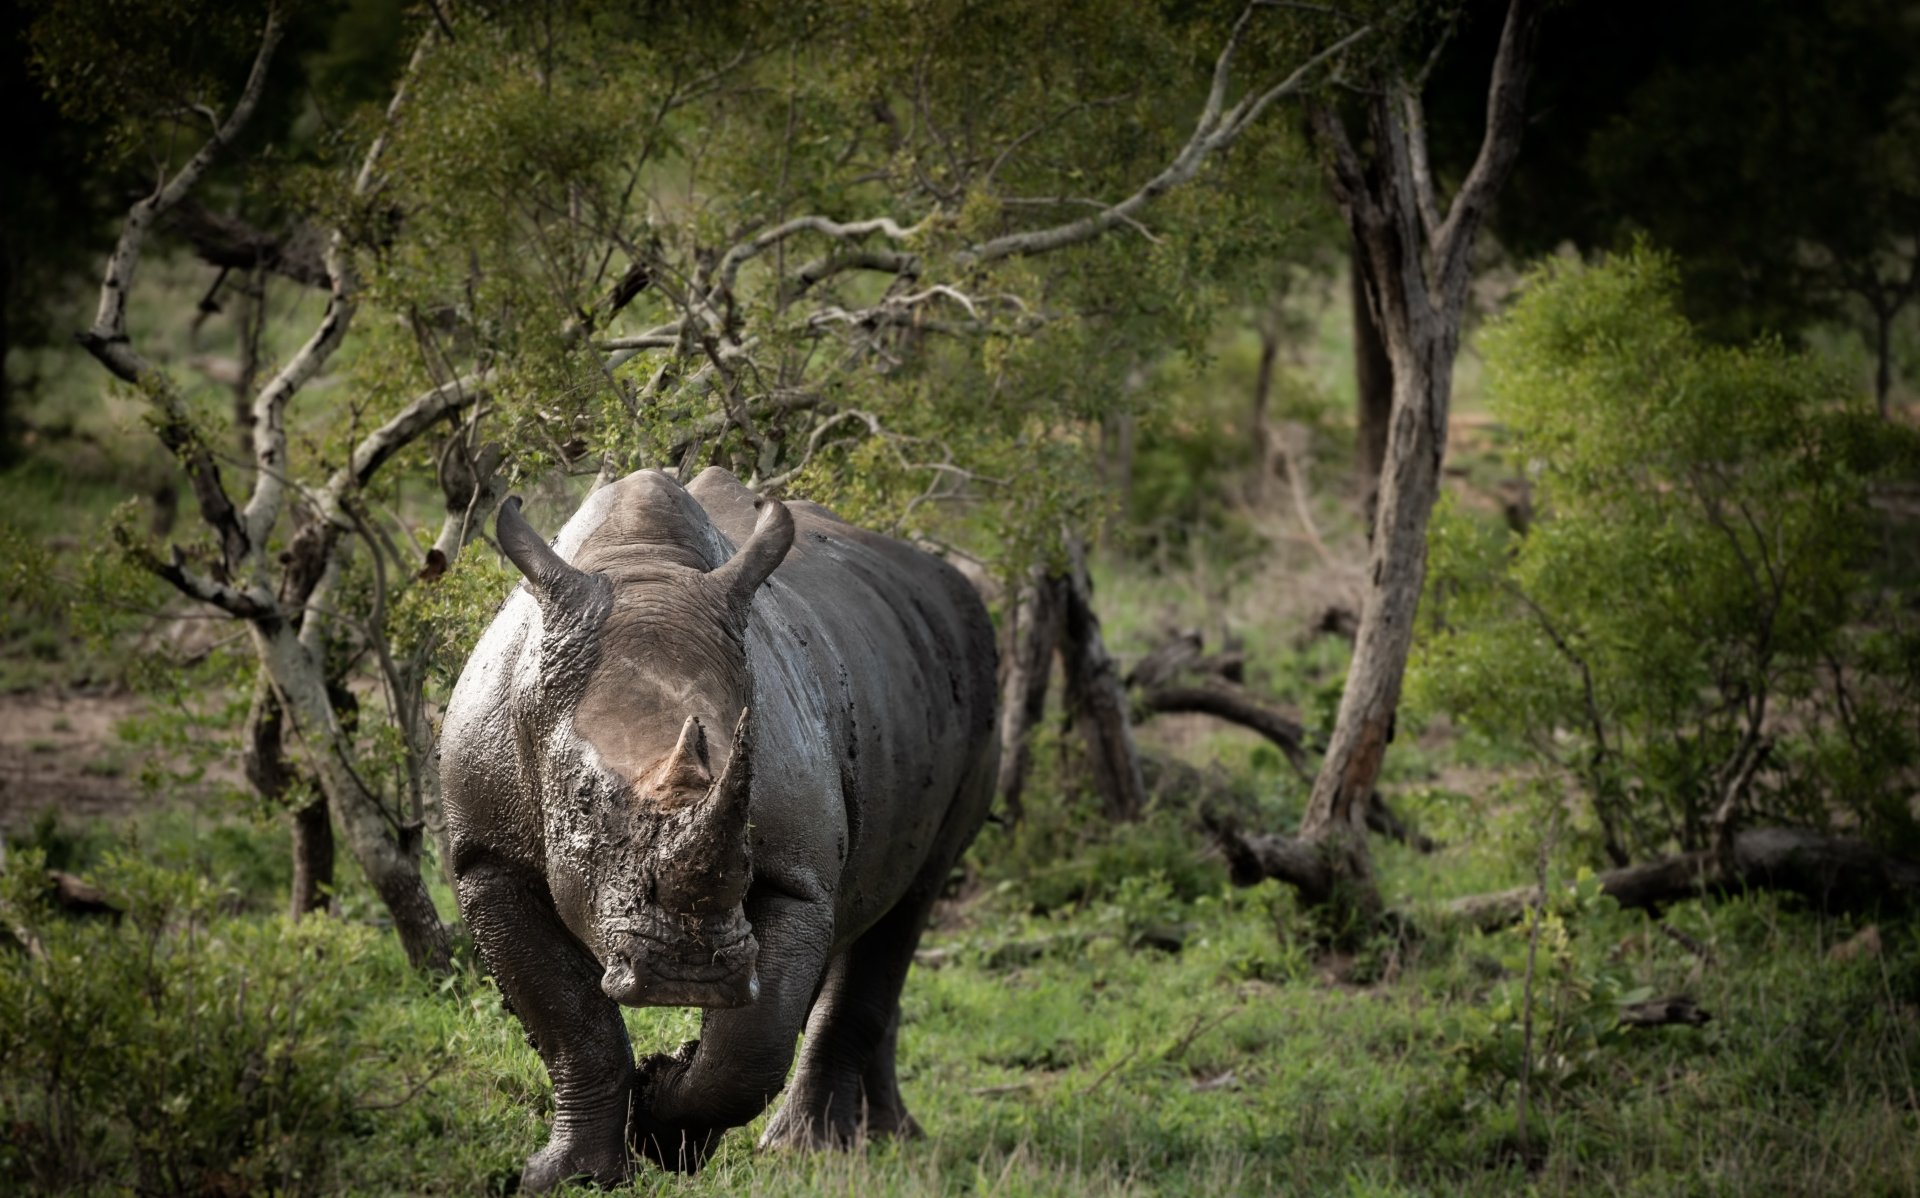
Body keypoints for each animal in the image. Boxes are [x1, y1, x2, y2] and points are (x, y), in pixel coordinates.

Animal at [439, 466, 999, 1189]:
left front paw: (664, 1124)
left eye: (748, 785)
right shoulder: (485, 855)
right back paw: (882, 1138)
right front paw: (574, 1177)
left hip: (974, 673)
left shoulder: (795, 877)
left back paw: (814, 1151)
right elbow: (569, 1021)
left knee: (913, 897)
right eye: (583, 802)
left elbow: (752, 1044)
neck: (642, 567)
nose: (688, 973)